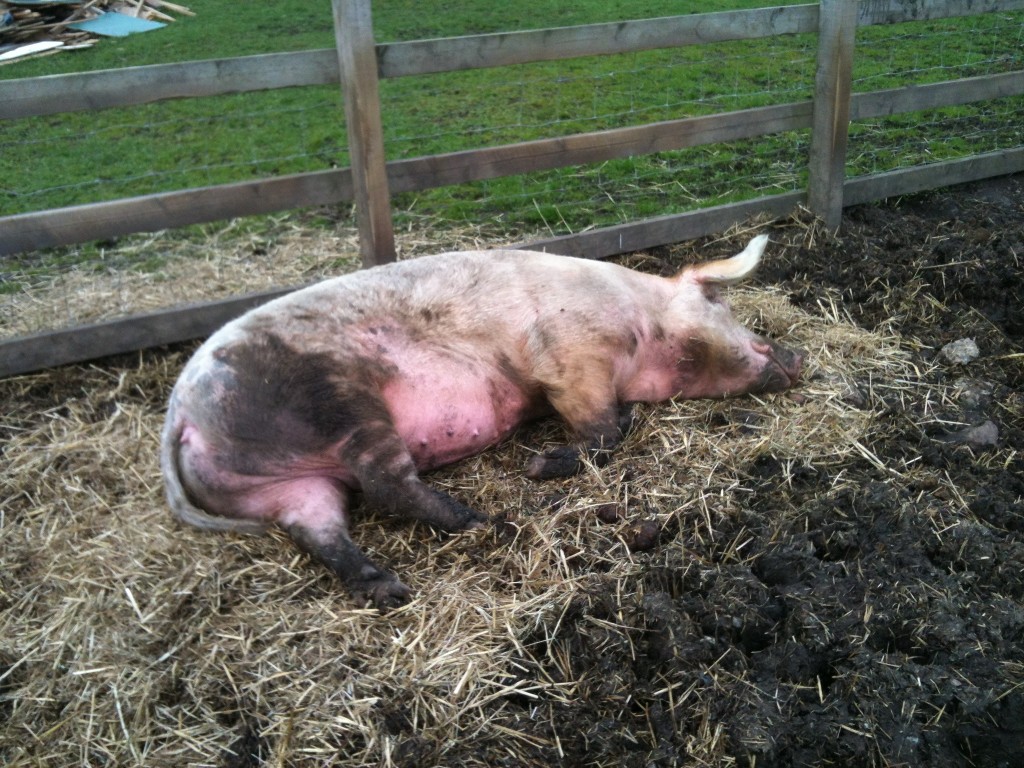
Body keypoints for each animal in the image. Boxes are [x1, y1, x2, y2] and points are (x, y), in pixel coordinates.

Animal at [160, 235, 801, 608]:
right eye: (722, 303)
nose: (795, 357)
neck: (642, 331)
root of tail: (181, 410)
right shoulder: (570, 357)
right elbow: (606, 431)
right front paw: (540, 465)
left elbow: (616, 425)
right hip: (338, 401)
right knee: (384, 482)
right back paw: (488, 524)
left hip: (287, 485)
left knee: (319, 528)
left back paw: (391, 588)